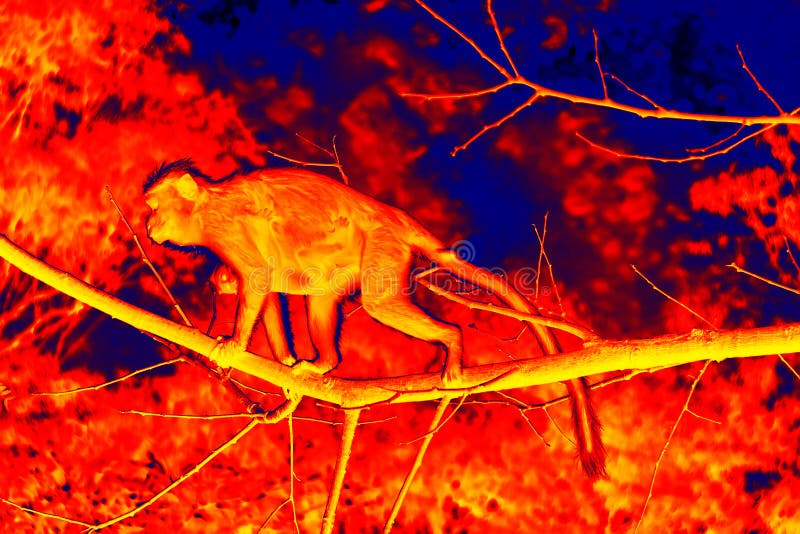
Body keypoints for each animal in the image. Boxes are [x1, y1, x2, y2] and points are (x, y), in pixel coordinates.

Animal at [143, 159, 606, 478]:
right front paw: (286, 377)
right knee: (319, 292)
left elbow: (257, 277)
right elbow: (270, 287)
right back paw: (325, 363)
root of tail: (391, 214)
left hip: (383, 244)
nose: (148, 222)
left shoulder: (224, 225)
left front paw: (235, 345)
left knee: (378, 303)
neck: (207, 204)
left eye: (155, 205)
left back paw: (452, 341)